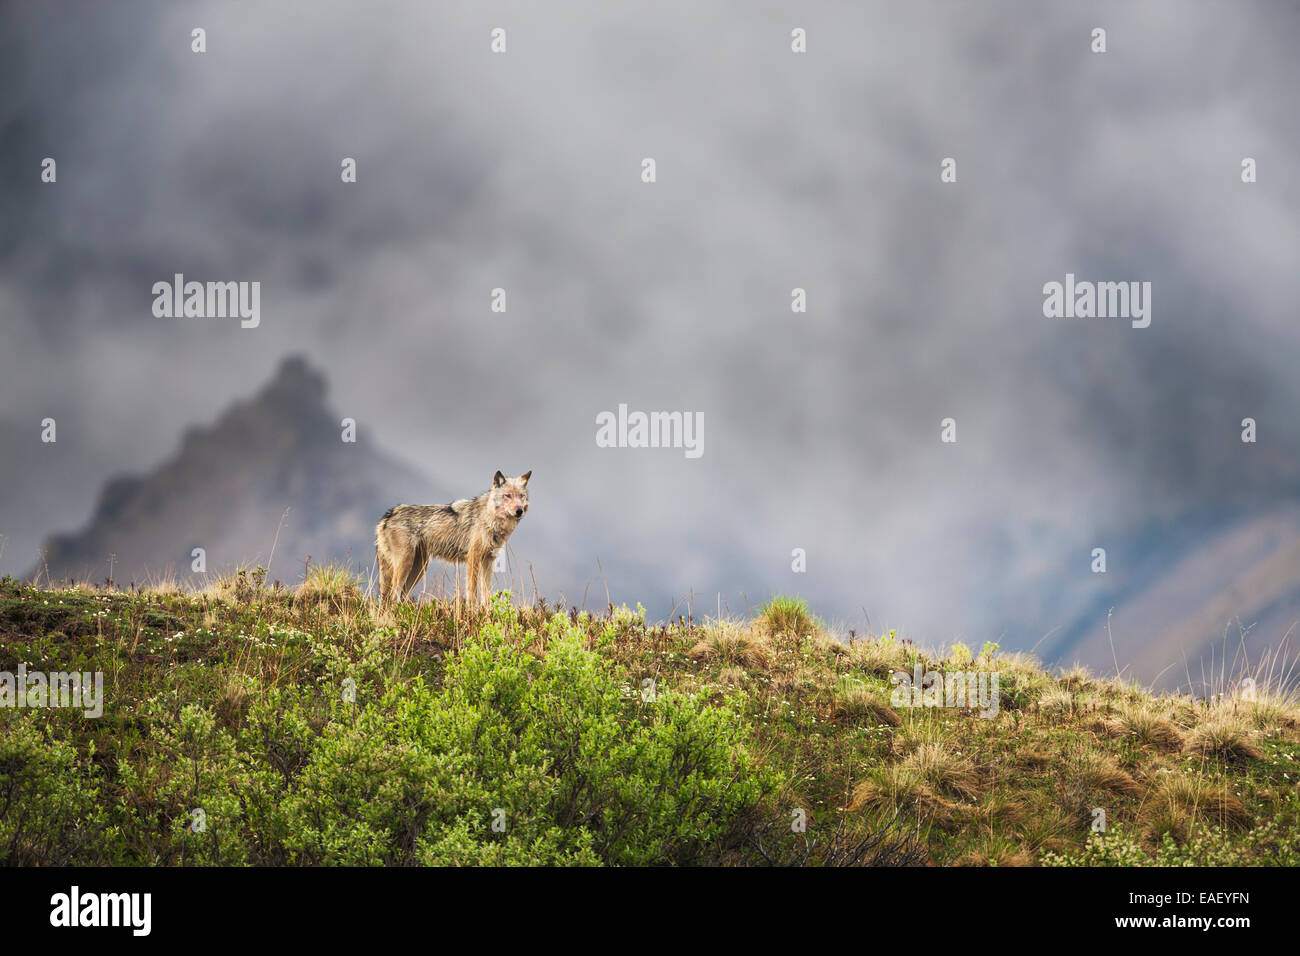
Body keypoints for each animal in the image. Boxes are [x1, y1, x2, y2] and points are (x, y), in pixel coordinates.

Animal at [375, 470, 531, 607]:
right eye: (508, 495)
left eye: (521, 496)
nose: (519, 511)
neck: (489, 519)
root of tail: (389, 514)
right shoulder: (473, 558)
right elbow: (472, 591)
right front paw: (471, 613)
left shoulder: (488, 561)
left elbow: (486, 596)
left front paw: (486, 615)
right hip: (405, 565)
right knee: (393, 595)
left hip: (419, 568)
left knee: (399, 596)